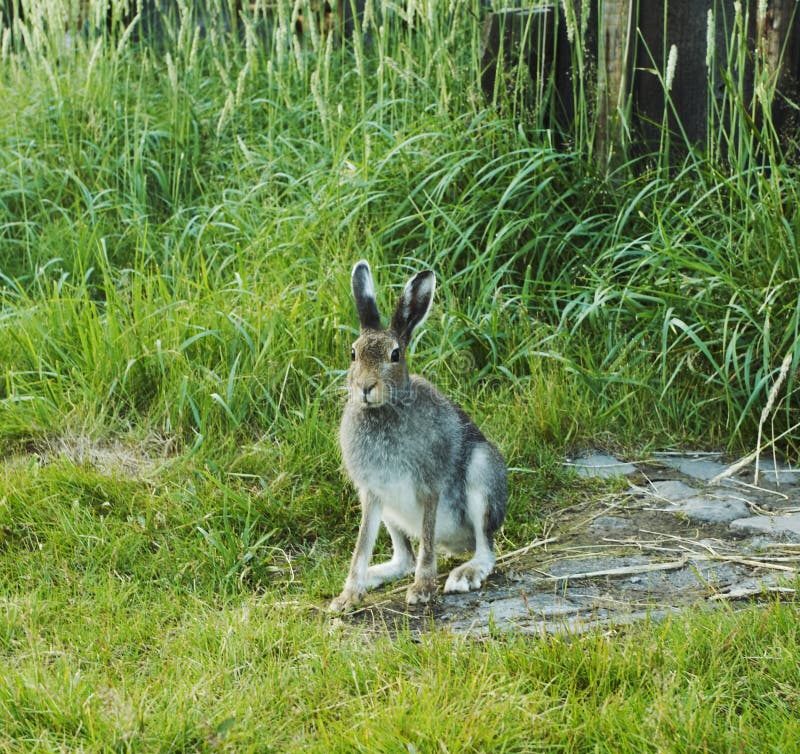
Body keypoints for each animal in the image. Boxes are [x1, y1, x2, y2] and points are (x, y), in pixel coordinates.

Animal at [329, 260, 508, 612]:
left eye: (395, 355)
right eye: (353, 353)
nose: (366, 387)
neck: (383, 410)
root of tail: (458, 544)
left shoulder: (429, 487)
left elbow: (426, 542)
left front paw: (423, 589)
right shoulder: (371, 493)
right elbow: (361, 546)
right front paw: (347, 597)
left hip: (482, 474)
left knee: (486, 547)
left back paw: (464, 575)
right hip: (391, 513)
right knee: (404, 558)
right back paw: (372, 577)